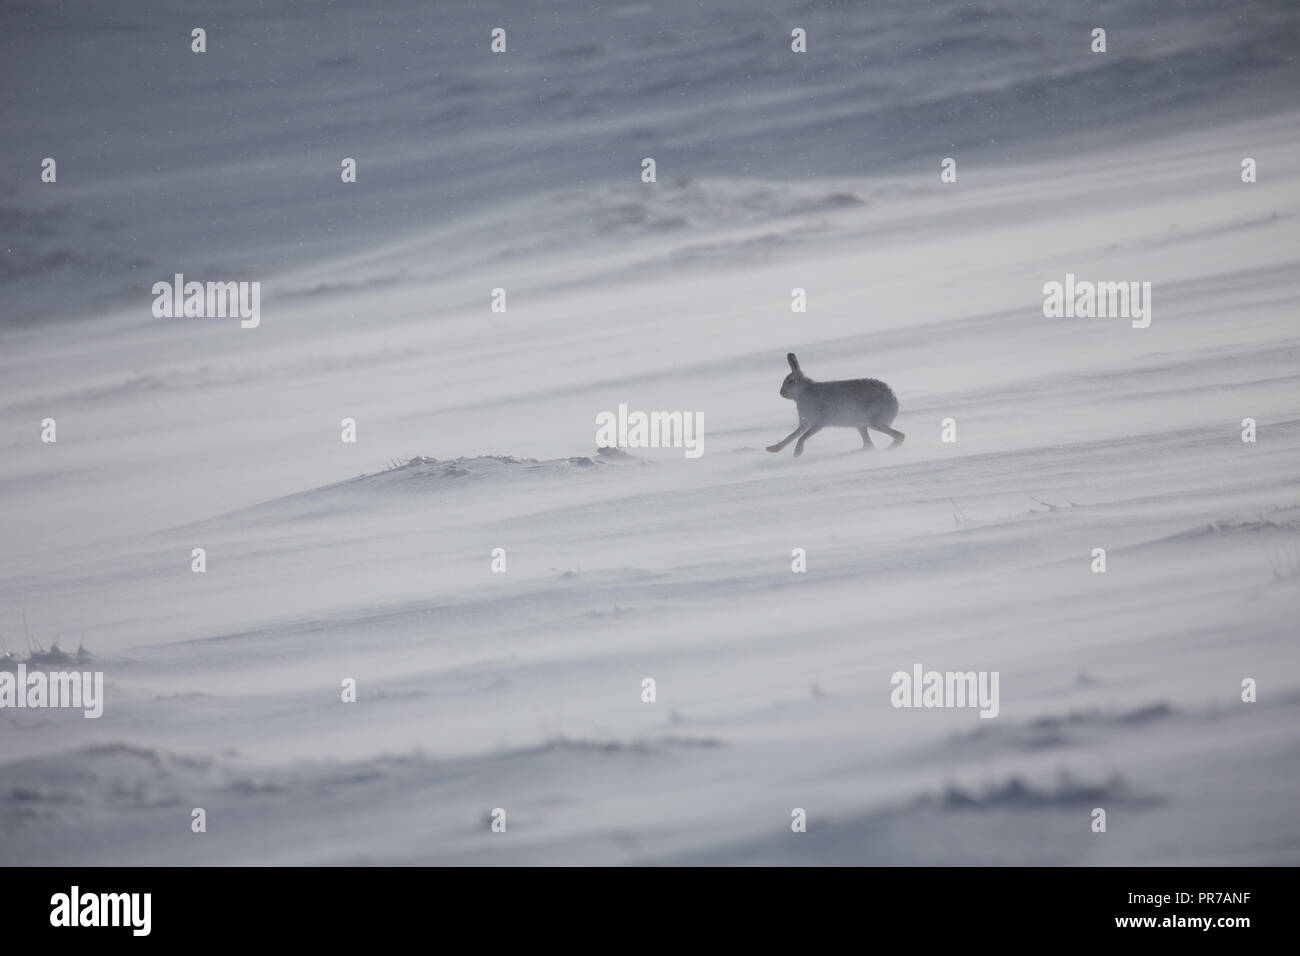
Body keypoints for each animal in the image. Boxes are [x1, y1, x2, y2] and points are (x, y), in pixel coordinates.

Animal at [766, 352, 904, 457]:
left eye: (790, 381)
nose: (781, 393)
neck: (803, 390)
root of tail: (894, 400)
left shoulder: (818, 422)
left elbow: (802, 437)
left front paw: (797, 453)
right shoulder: (805, 422)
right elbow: (792, 436)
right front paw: (772, 449)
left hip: (874, 422)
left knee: (899, 436)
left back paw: (888, 450)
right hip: (861, 425)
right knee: (869, 445)